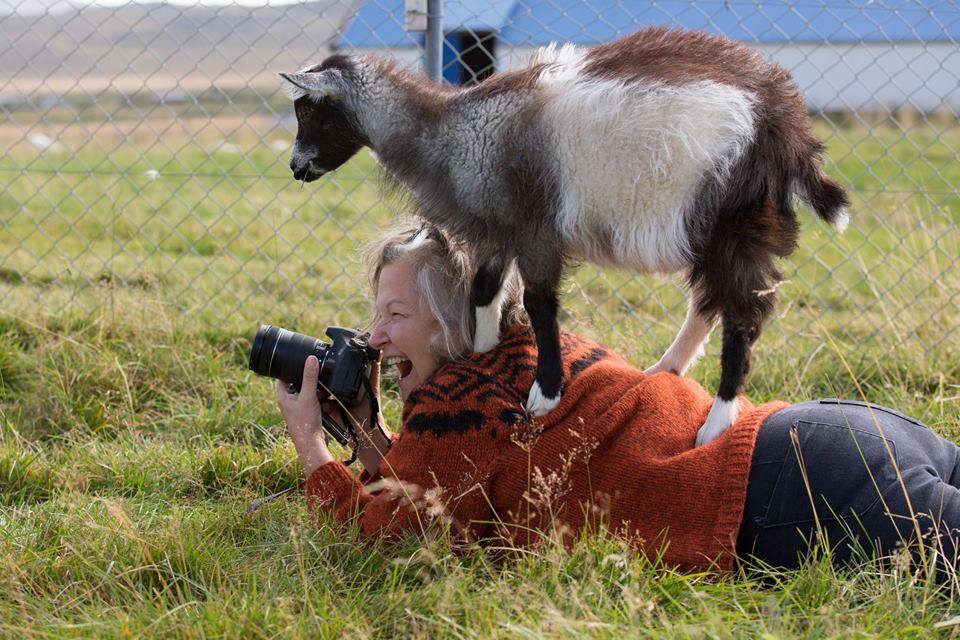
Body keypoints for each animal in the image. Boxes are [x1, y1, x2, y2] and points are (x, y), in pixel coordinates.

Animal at [280, 26, 849, 445]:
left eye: (308, 109)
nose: (295, 169)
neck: (453, 132)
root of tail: (788, 122)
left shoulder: (535, 230)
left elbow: (539, 304)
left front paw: (545, 392)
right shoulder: (499, 228)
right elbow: (483, 294)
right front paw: (482, 353)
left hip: (734, 217)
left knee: (743, 314)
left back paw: (717, 420)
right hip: (718, 226)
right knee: (712, 303)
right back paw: (667, 369)